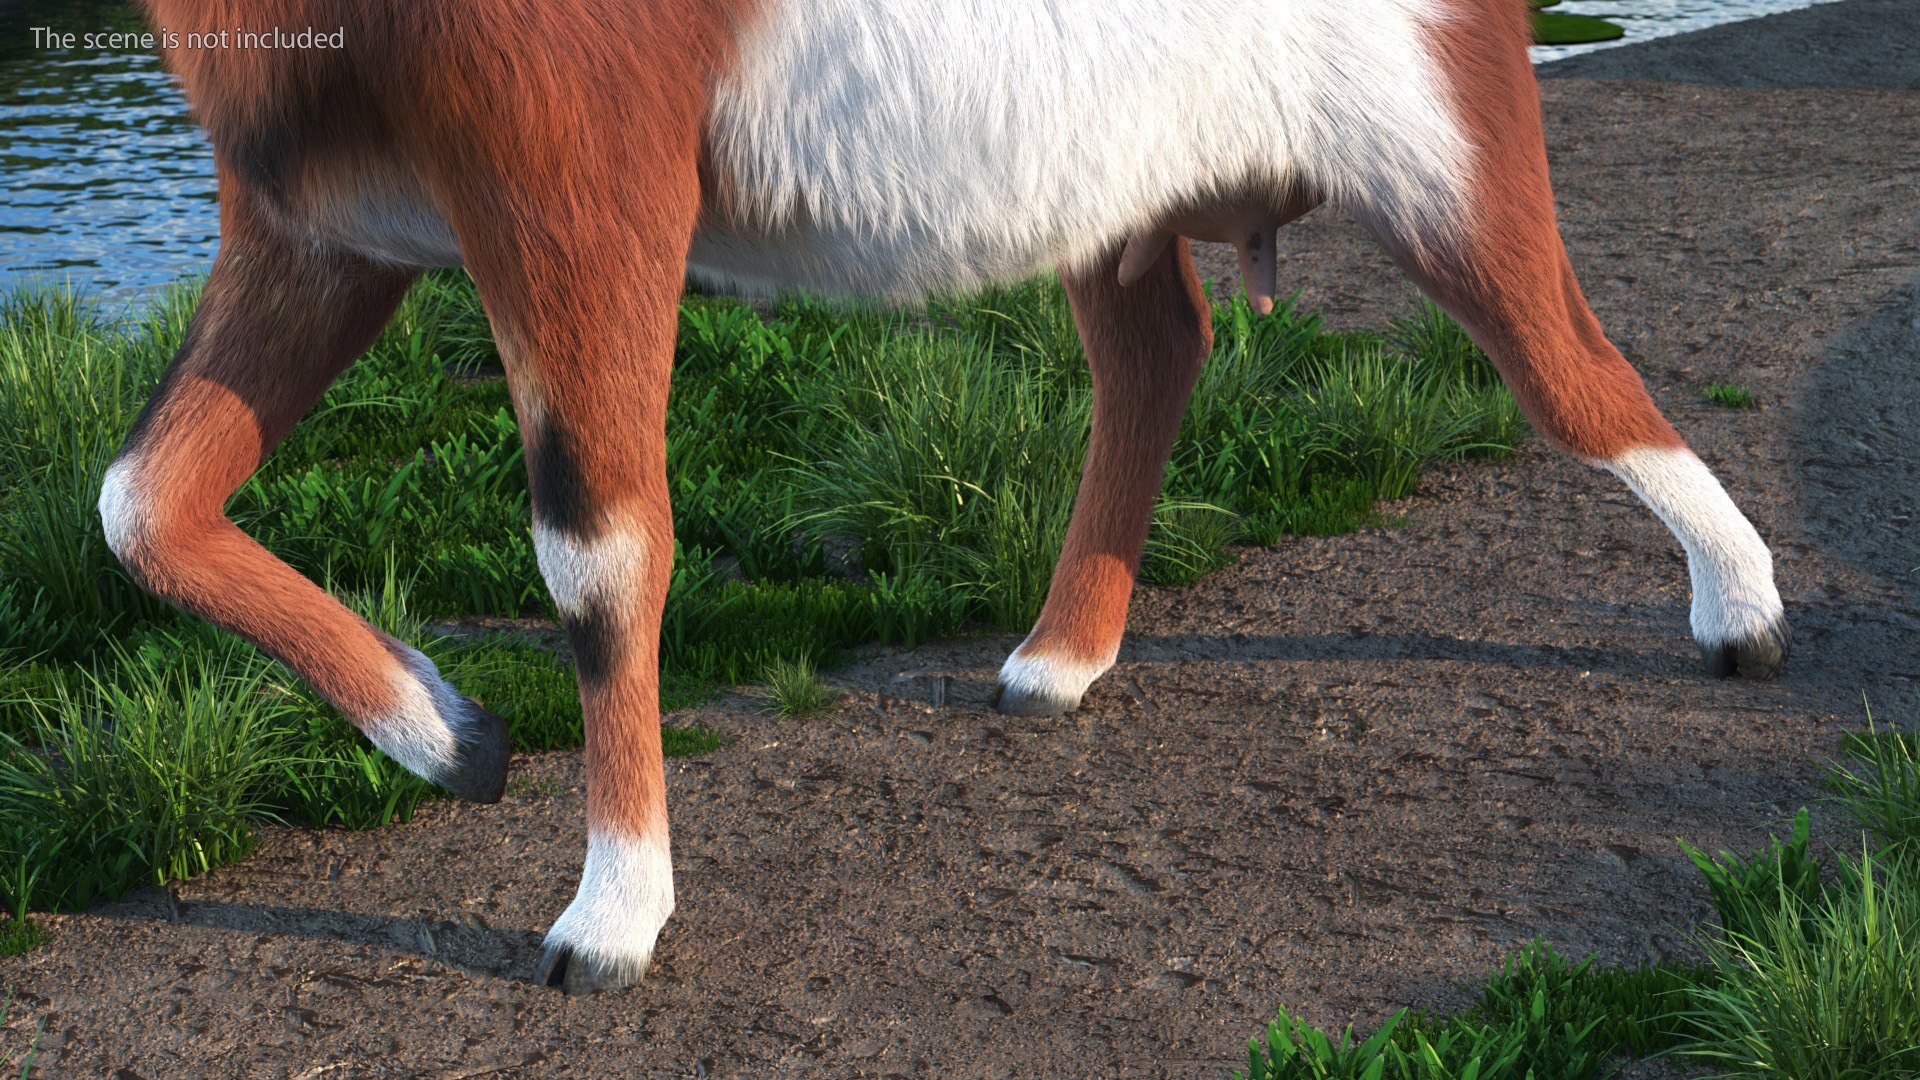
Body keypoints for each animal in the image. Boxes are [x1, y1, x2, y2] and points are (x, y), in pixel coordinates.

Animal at [109, 0, 1787, 993]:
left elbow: (598, 549)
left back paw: (1746, 615)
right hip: (1122, 196)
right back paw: (1057, 660)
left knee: (1569, 366)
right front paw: (447, 736)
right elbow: (140, 502)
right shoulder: (320, 227)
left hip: (1442, 149)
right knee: (1157, 348)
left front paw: (612, 919)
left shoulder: (578, 194)